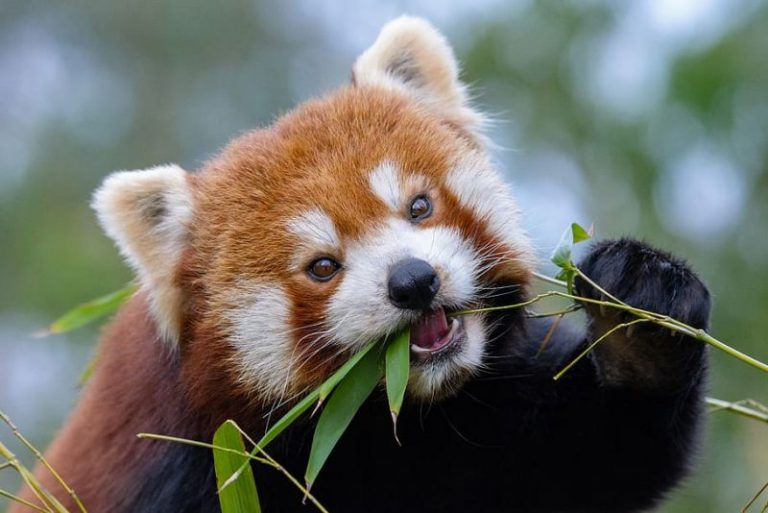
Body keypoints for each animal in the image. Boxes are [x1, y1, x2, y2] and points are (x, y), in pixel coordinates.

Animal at [13, 16, 710, 513]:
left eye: (419, 206)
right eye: (323, 266)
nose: (414, 281)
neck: (392, 420)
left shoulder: (495, 420)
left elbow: (605, 457)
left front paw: (641, 321)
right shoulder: (196, 461)